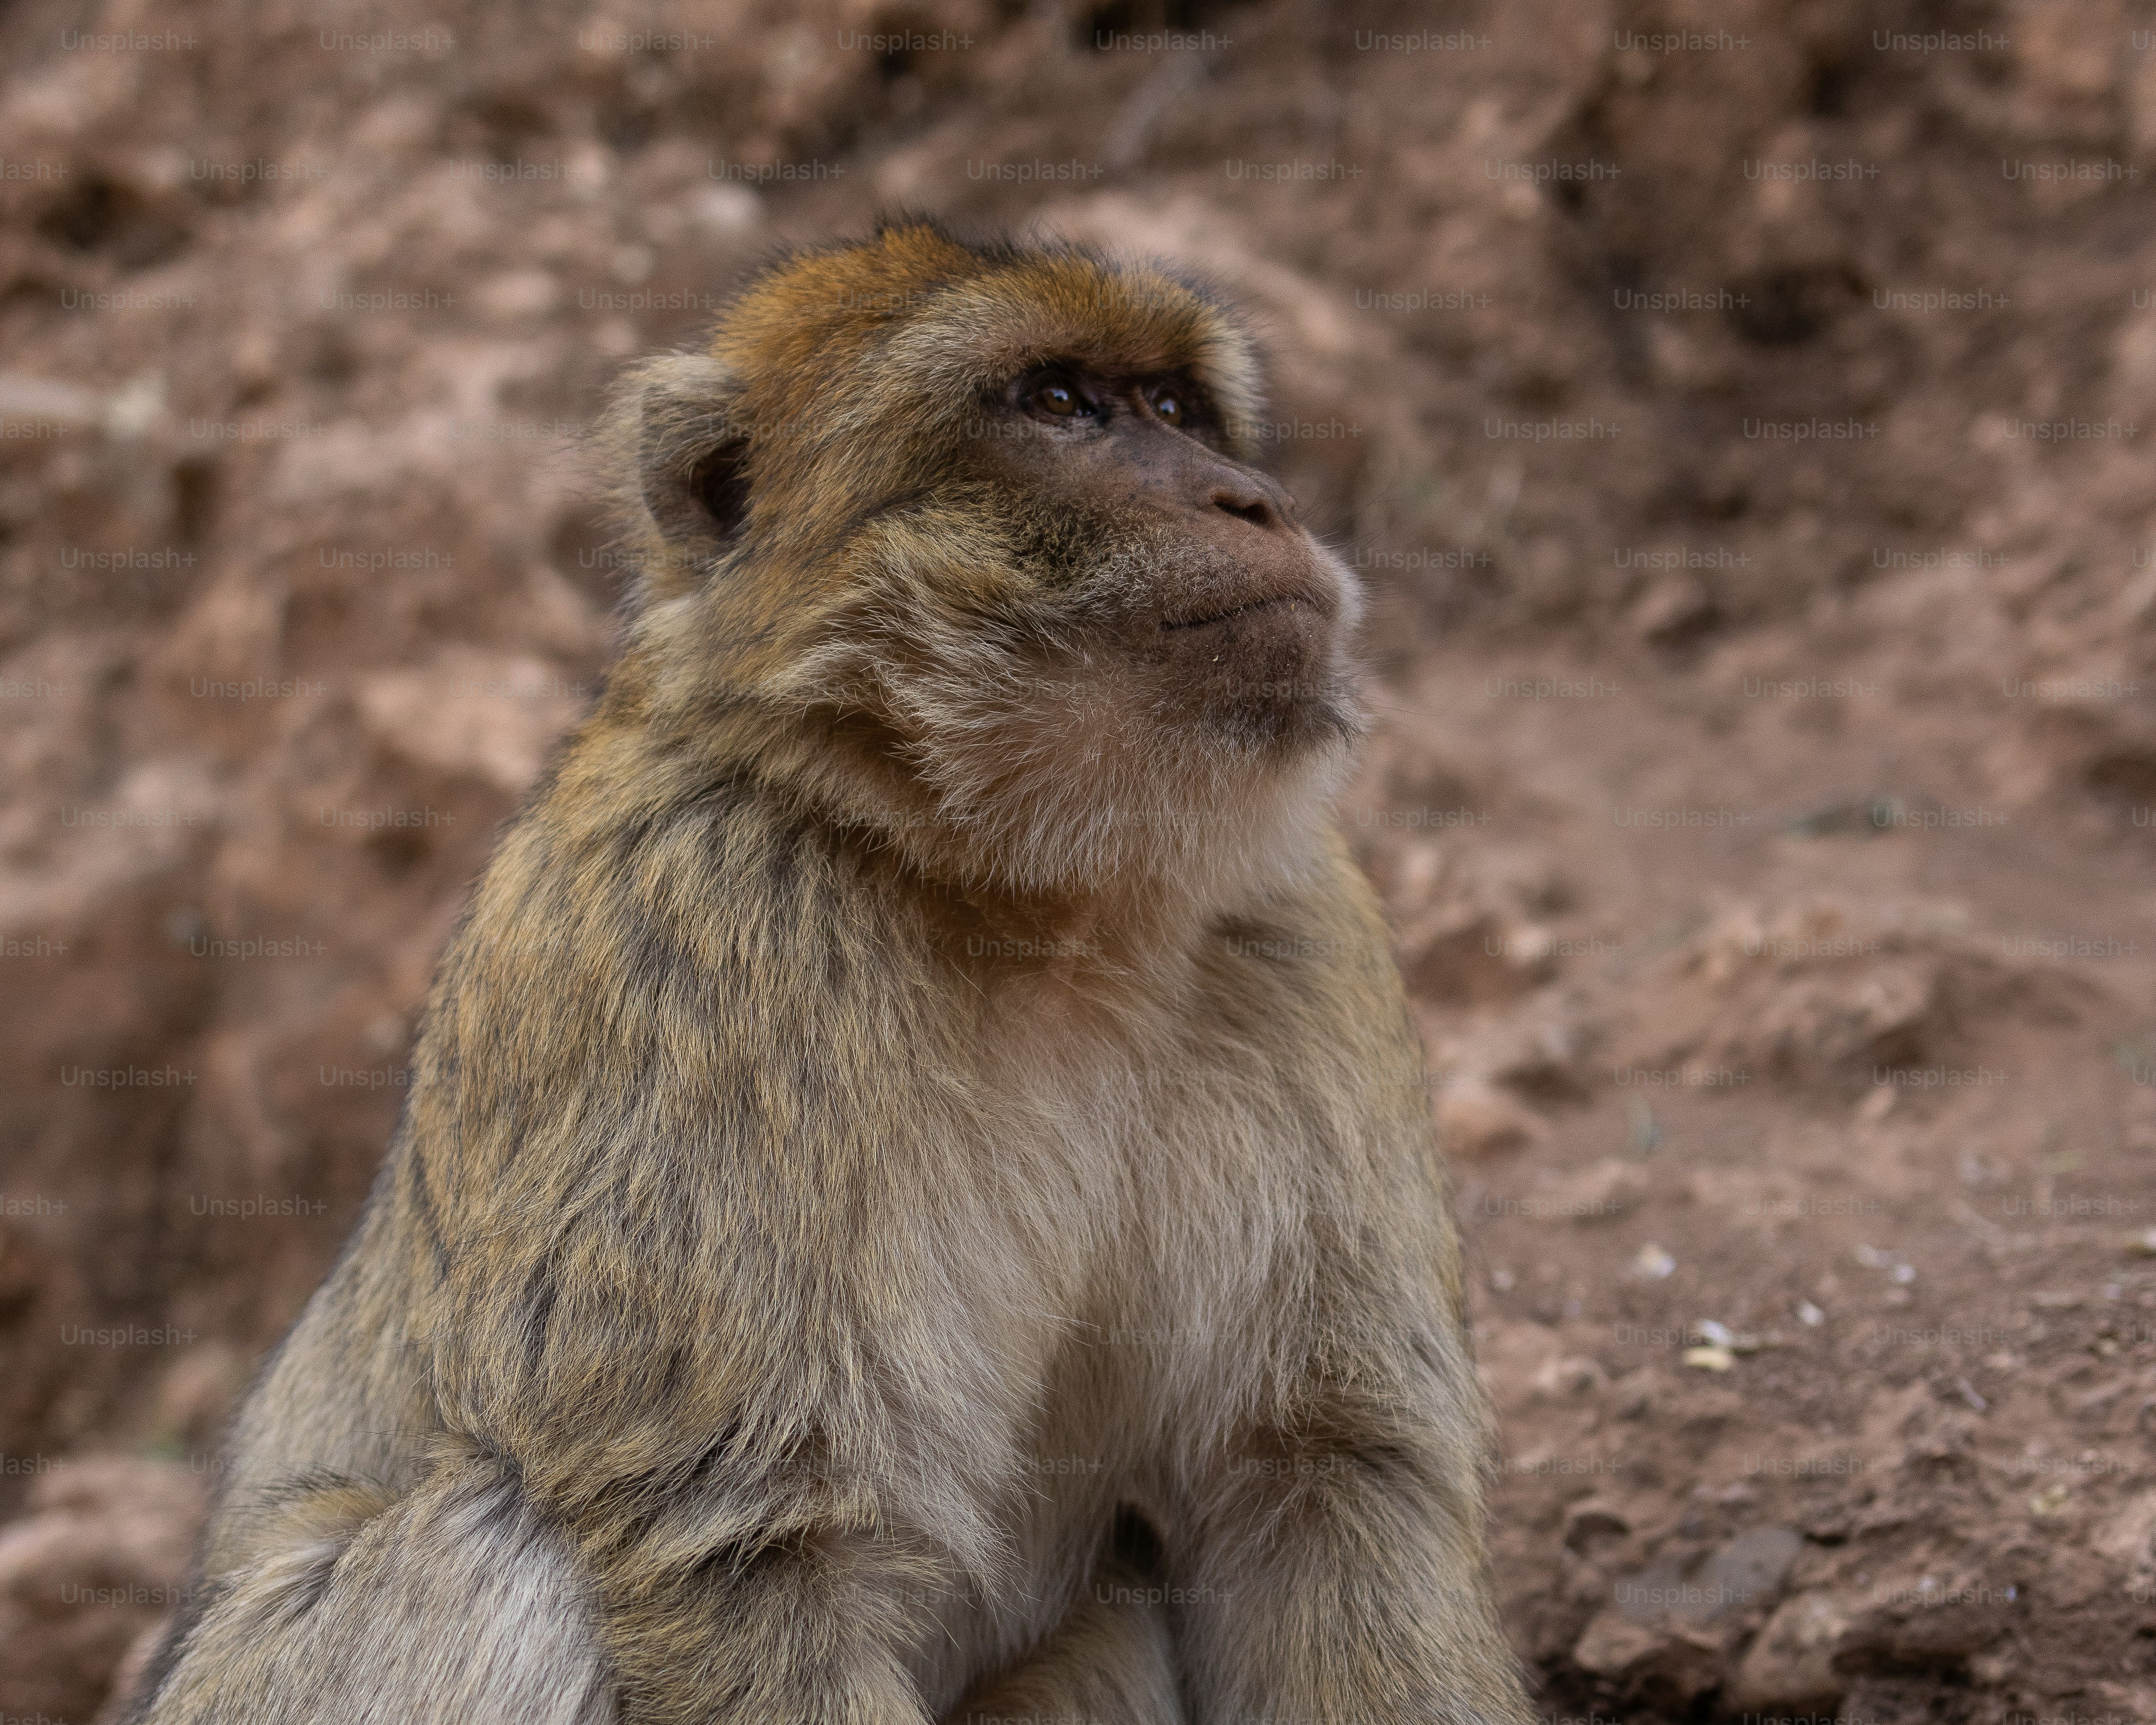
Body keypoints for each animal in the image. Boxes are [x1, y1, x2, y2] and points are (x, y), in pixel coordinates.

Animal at [126, 219, 1536, 1725]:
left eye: (1174, 407)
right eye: (1058, 402)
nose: (1253, 502)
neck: (1035, 893)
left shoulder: (1298, 933)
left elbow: (1323, 1478)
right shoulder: (702, 930)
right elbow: (747, 1539)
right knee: (488, 1547)